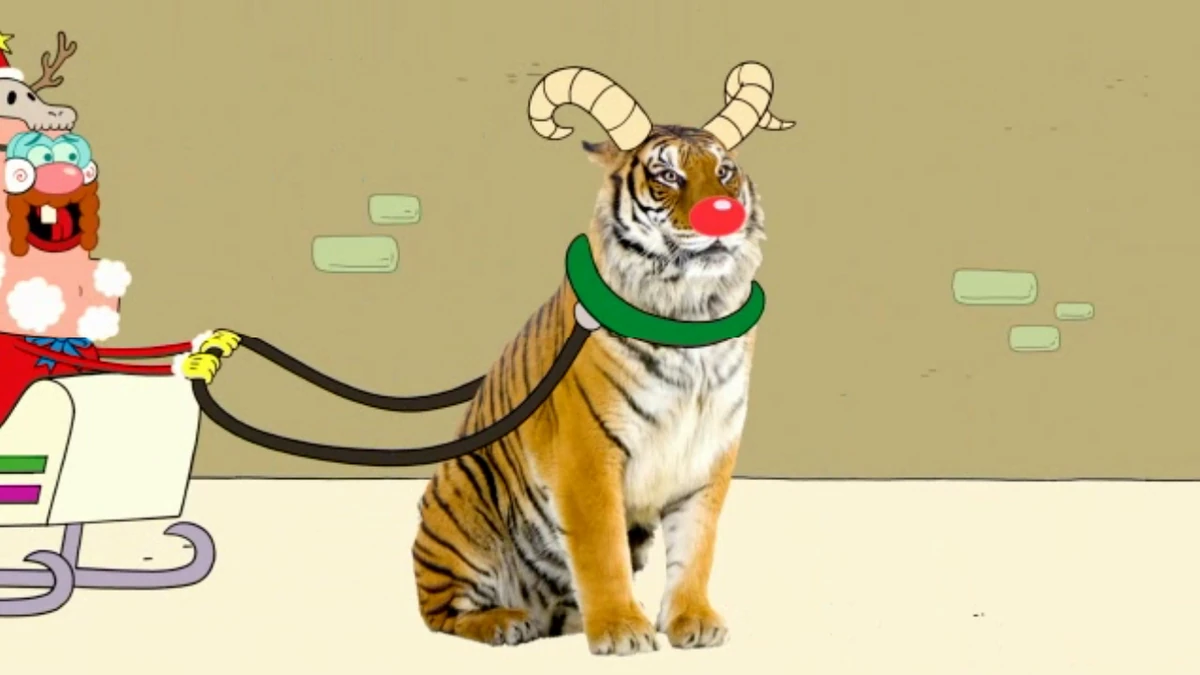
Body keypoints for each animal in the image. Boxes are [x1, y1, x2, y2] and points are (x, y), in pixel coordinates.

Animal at [412, 62, 795, 657]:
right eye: (668, 176)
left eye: (725, 172)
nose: (725, 216)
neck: (692, 311)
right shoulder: (587, 454)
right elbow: (601, 549)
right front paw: (621, 630)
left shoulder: (709, 453)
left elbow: (697, 545)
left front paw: (693, 622)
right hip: (459, 502)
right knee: (442, 613)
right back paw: (505, 623)